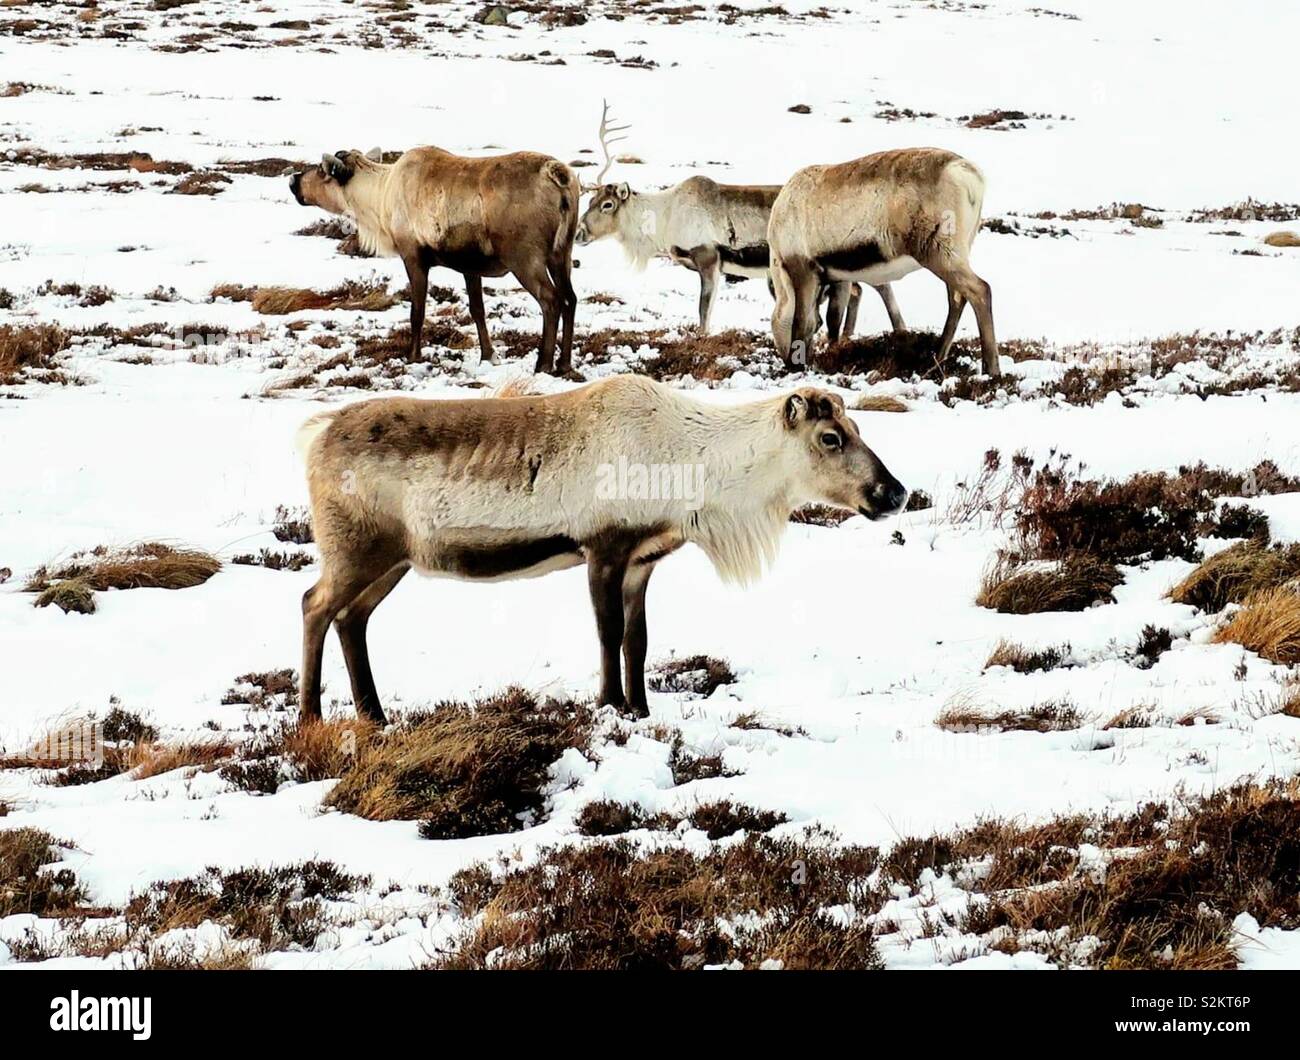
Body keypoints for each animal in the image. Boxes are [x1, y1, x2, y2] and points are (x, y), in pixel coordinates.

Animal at [289, 145, 580, 374]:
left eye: (322, 170)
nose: (293, 180)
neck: (379, 203)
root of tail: (561, 176)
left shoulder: (413, 255)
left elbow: (417, 312)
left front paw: (413, 356)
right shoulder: (470, 265)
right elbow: (478, 310)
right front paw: (488, 355)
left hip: (524, 256)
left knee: (551, 300)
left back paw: (544, 364)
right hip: (561, 252)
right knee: (570, 298)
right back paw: (564, 363)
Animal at [295, 374, 907, 722]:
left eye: (857, 427)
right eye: (831, 437)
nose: (895, 493)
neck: (690, 469)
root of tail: (315, 435)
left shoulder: (642, 561)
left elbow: (639, 640)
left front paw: (640, 708)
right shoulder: (603, 548)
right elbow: (608, 633)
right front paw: (610, 705)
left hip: (392, 560)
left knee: (352, 618)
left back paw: (374, 716)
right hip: (355, 549)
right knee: (314, 605)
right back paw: (310, 717)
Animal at [573, 102, 905, 341]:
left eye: (606, 204)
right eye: (588, 201)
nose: (579, 233)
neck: (665, 218)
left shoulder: (708, 257)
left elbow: (704, 308)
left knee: (875, 288)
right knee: (864, 289)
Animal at [768, 147, 999, 375]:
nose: (786, 360)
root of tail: (969, 174)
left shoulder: (803, 269)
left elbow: (802, 320)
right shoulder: (838, 276)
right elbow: (831, 319)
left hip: (938, 252)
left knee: (980, 290)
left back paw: (991, 369)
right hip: (957, 250)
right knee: (957, 298)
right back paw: (936, 361)